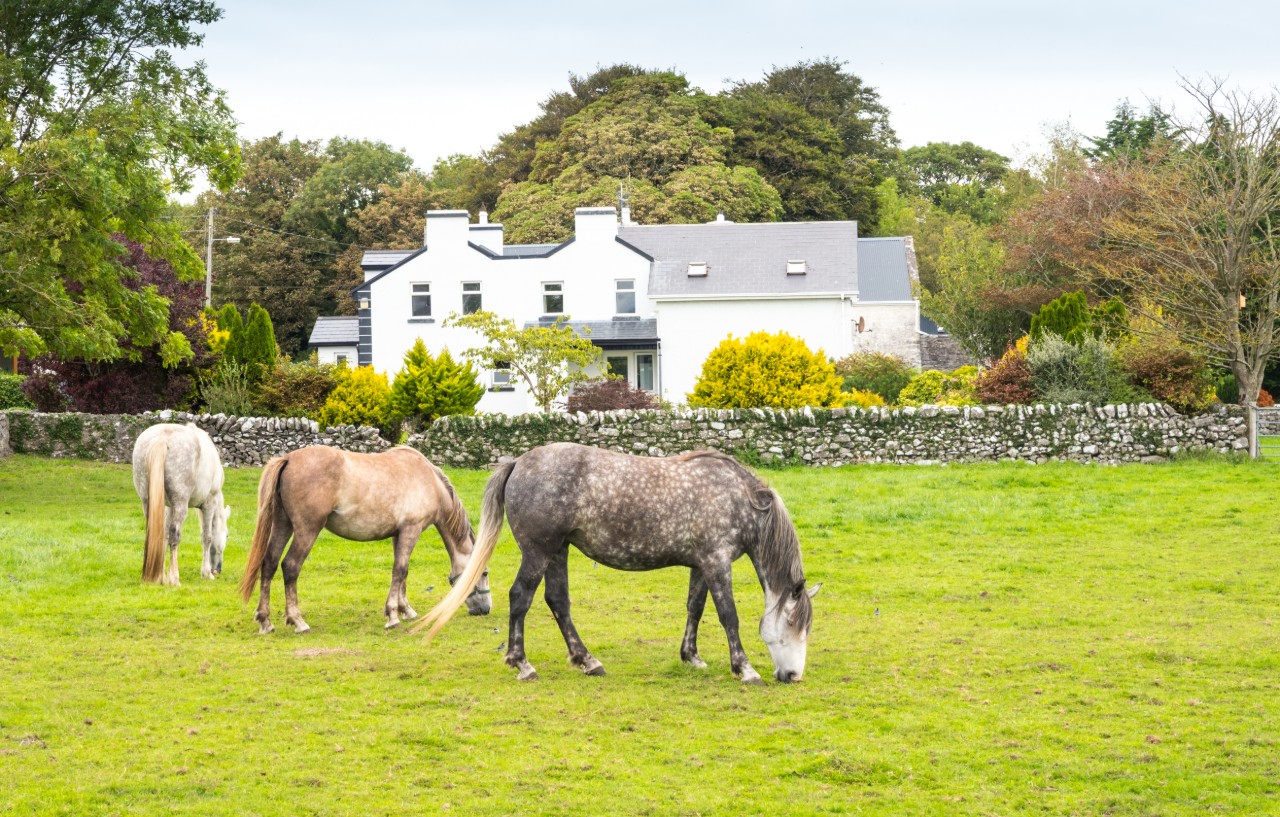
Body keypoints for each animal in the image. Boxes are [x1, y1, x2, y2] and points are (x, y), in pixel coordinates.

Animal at [132, 423, 231, 586]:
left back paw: (158, 577)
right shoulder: (209, 504)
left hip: (147, 501)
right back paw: (174, 579)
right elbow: (207, 537)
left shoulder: (167, 506)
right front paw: (206, 573)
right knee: (175, 536)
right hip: (181, 503)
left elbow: (164, 537)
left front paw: (162, 577)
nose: (218, 569)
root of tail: (162, 437)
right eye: (227, 535)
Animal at [238, 445, 491, 634]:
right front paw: (392, 616)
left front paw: (405, 610)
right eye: (484, 573)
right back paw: (298, 621)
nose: (485, 609)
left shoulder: (399, 534)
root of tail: (288, 459)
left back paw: (265, 621)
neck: (429, 480)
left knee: (269, 564)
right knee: (290, 567)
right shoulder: (411, 530)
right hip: (306, 530)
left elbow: (403, 573)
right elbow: (400, 570)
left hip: (283, 525)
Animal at [416, 442, 820, 684]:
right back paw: (522, 663)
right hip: (539, 552)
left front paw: (691, 657)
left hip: (558, 551)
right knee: (521, 598)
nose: (793, 675)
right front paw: (745, 668)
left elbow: (695, 607)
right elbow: (728, 615)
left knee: (557, 602)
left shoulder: (702, 565)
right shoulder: (717, 562)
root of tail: (518, 463)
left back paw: (587, 660)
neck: (738, 498)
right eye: (794, 625)